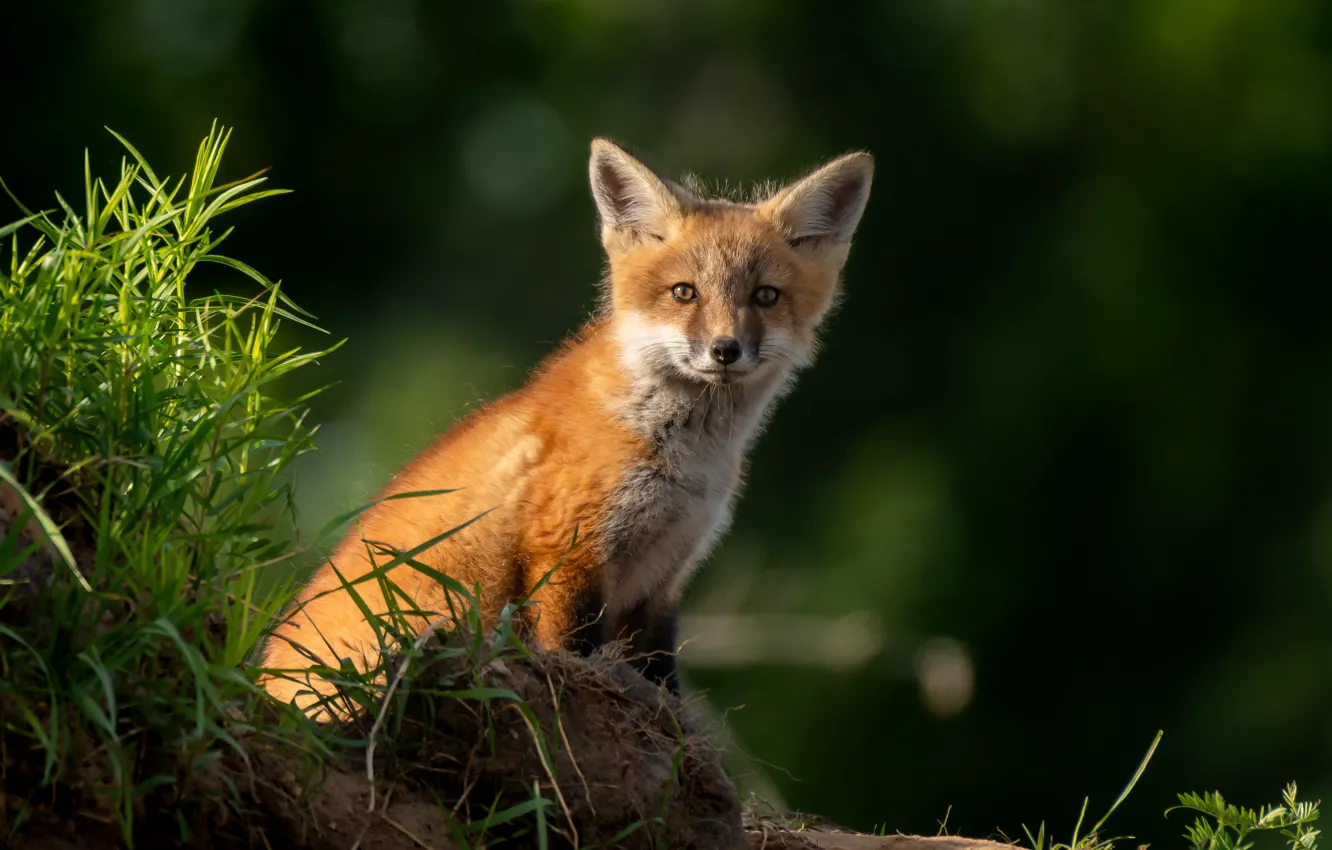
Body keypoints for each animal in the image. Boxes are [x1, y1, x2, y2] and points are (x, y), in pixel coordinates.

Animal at [258, 138, 873, 719]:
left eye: (765, 296)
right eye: (685, 292)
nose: (726, 350)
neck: (682, 458)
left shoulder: (663, 576)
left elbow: (662, 678)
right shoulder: (567, 551)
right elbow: (571, 651)